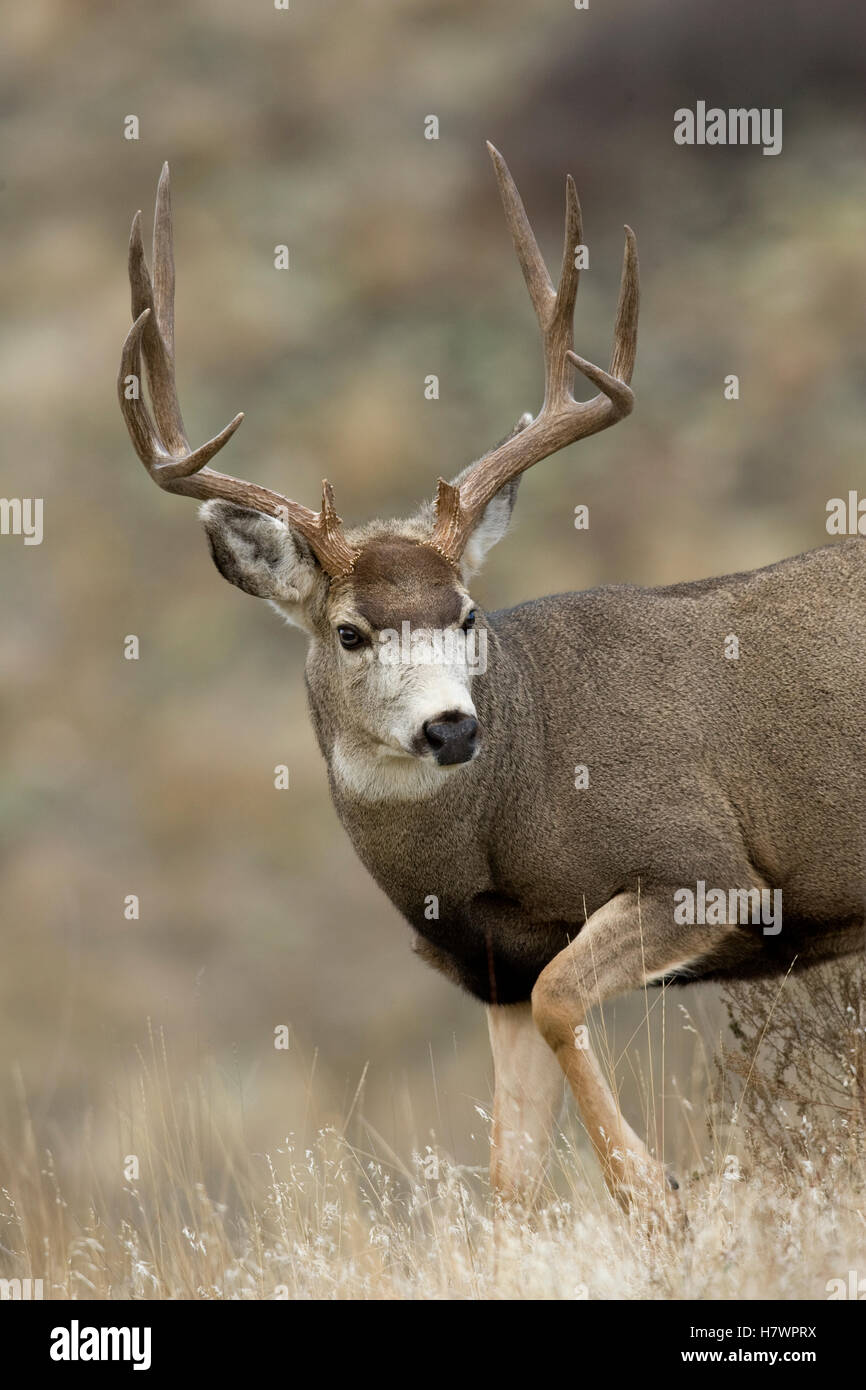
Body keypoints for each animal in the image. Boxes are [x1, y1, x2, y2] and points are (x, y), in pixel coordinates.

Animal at [118, 147, 866, 1215]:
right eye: (349, 632)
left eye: (467, 613)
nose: (451, 729)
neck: (503, 814)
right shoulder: (493, 971)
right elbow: (509, 1178)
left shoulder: (702, 864)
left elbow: (564, 1004)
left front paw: (653, 1192)